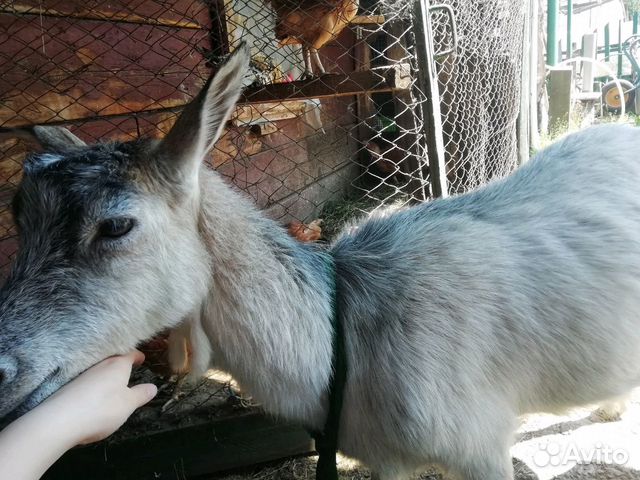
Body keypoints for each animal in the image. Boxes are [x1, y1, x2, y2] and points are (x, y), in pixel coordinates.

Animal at [1, 46, 640, 480]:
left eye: (116, 225)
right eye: (18, 212)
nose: (1, 369)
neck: (345, 347)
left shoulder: (482, 442)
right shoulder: (386, 457)